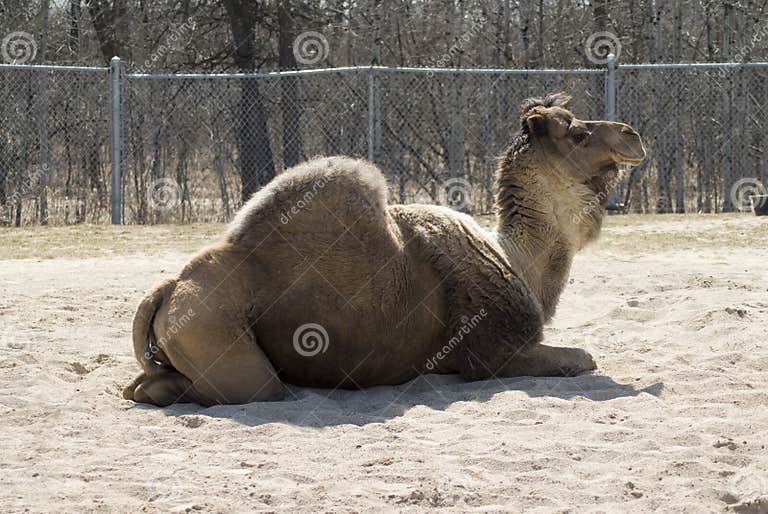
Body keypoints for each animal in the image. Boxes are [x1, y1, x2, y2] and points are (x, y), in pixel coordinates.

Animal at [123, 92, 646, 406]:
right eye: (577, 132)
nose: (631, 134)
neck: (515, 262)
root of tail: (169, 287)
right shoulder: (487, 352)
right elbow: (583, 357)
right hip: (225, 343)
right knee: (249, 387)